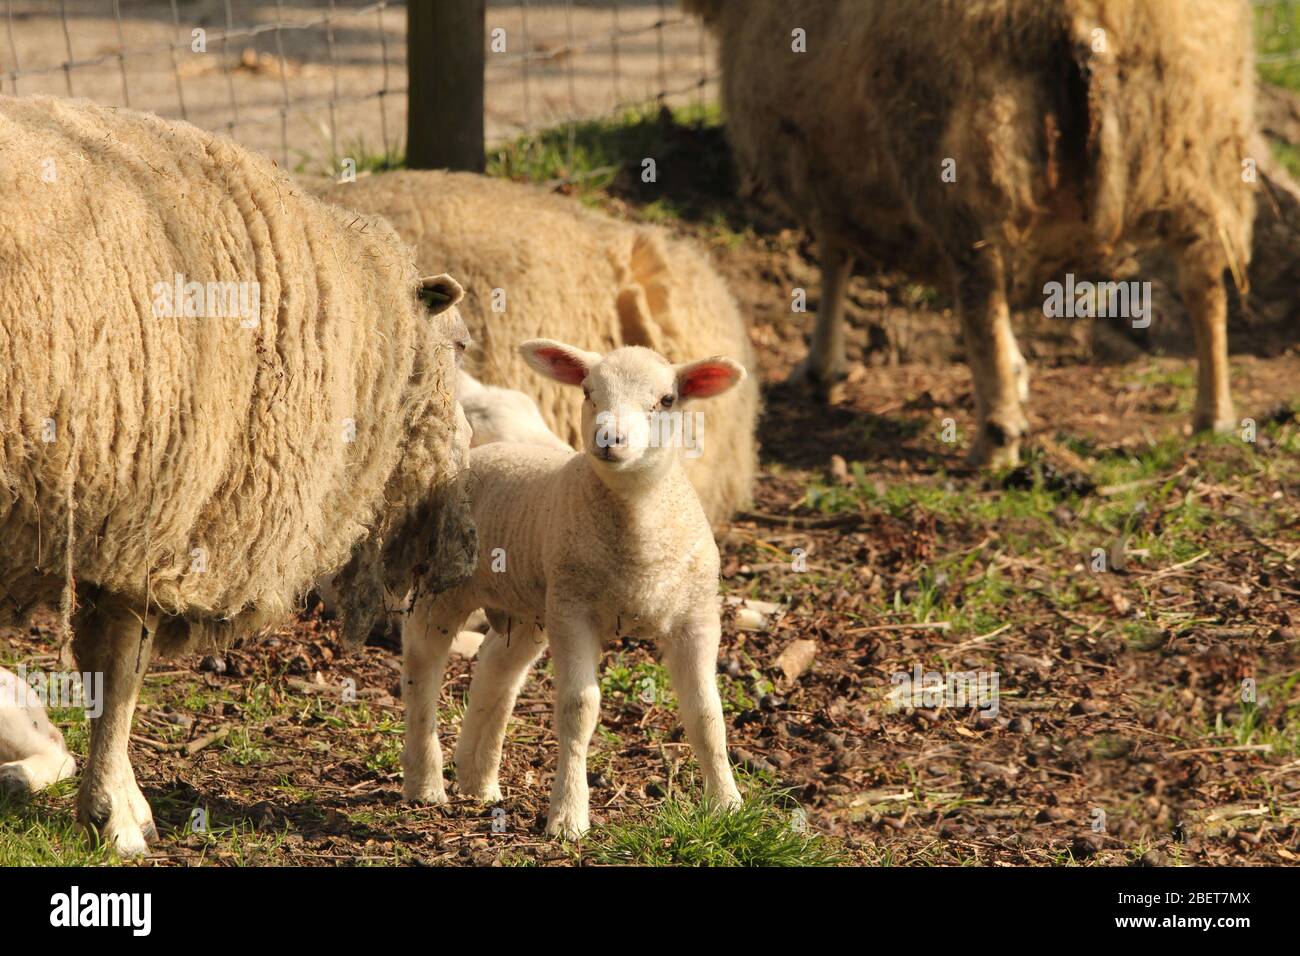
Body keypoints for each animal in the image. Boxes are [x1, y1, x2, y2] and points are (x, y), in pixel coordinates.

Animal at [401, 340, 746, 838]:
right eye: (587, 390)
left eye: (667, 400)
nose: (609, 438)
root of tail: (485, 453)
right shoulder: (573, 613)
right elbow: (579, 710)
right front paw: (568, 816)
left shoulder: (696, 617)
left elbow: (706, 714)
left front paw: (728, 805)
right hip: (444, 586)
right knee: (422, 664)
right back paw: (425, 783)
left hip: (529, 607)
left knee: (497, 670)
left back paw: (478, 780)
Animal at [685, 0, 1256, 465]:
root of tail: (1088, 15)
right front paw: (1021, 371)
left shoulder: (818, 165)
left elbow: (833, 257)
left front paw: (822, 366)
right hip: (1197, 146)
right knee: (1206, 283)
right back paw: (1215, 413)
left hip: (966, 161)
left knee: (980, 292)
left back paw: (996, 438)